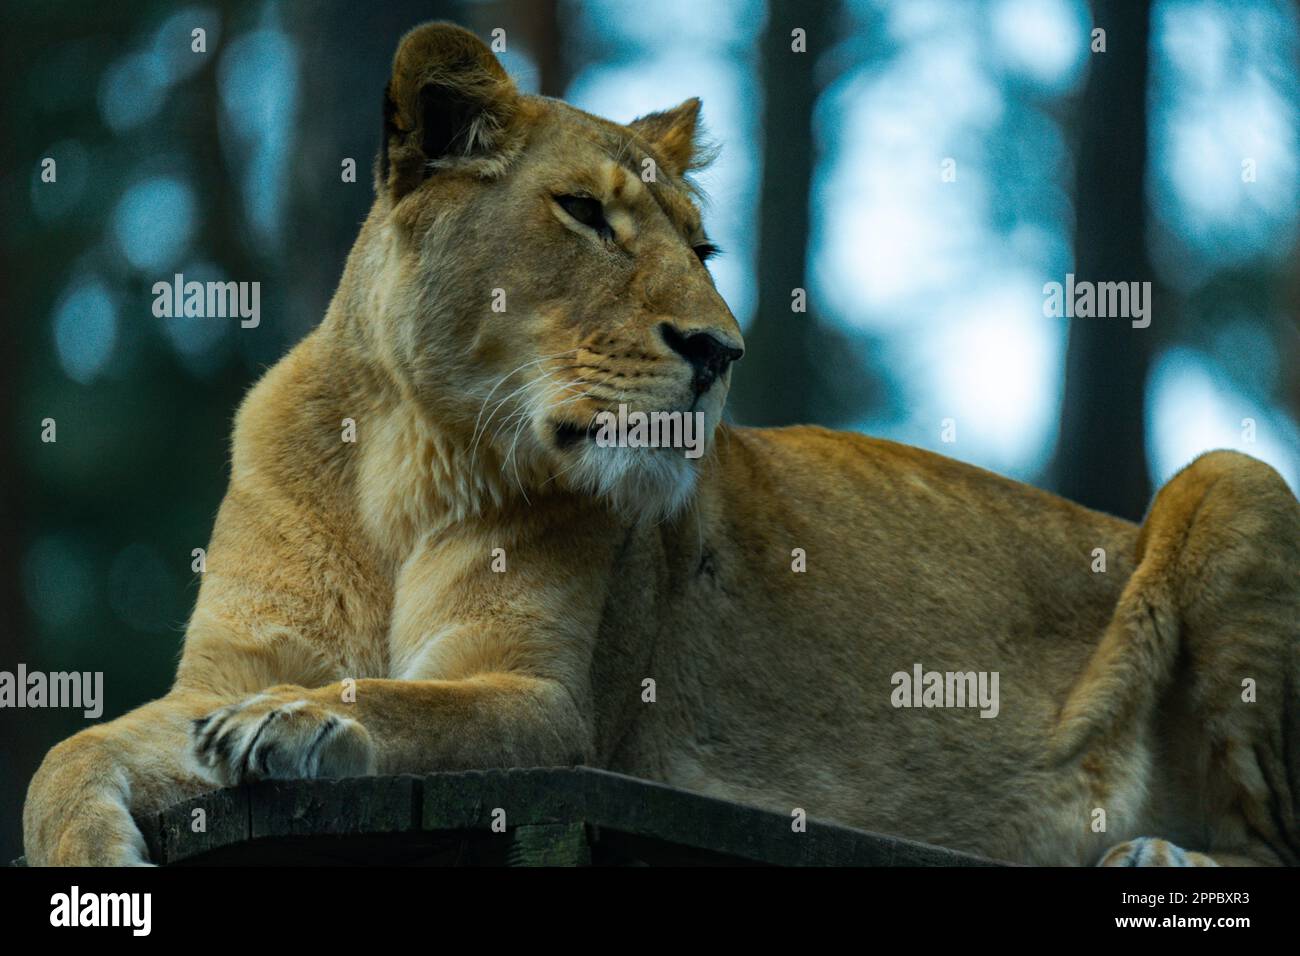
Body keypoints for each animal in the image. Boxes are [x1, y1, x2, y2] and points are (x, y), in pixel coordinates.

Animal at [23, 22, 1300, 867]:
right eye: (586, 214)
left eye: (703, 244)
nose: (719, 348)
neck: (403, 456)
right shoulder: (213, 673)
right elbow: (68, 754)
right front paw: (96, 854)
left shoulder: (546, 706)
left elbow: (406, 702)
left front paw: (304, 719)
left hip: (1234, 476)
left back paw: (1156, 852)